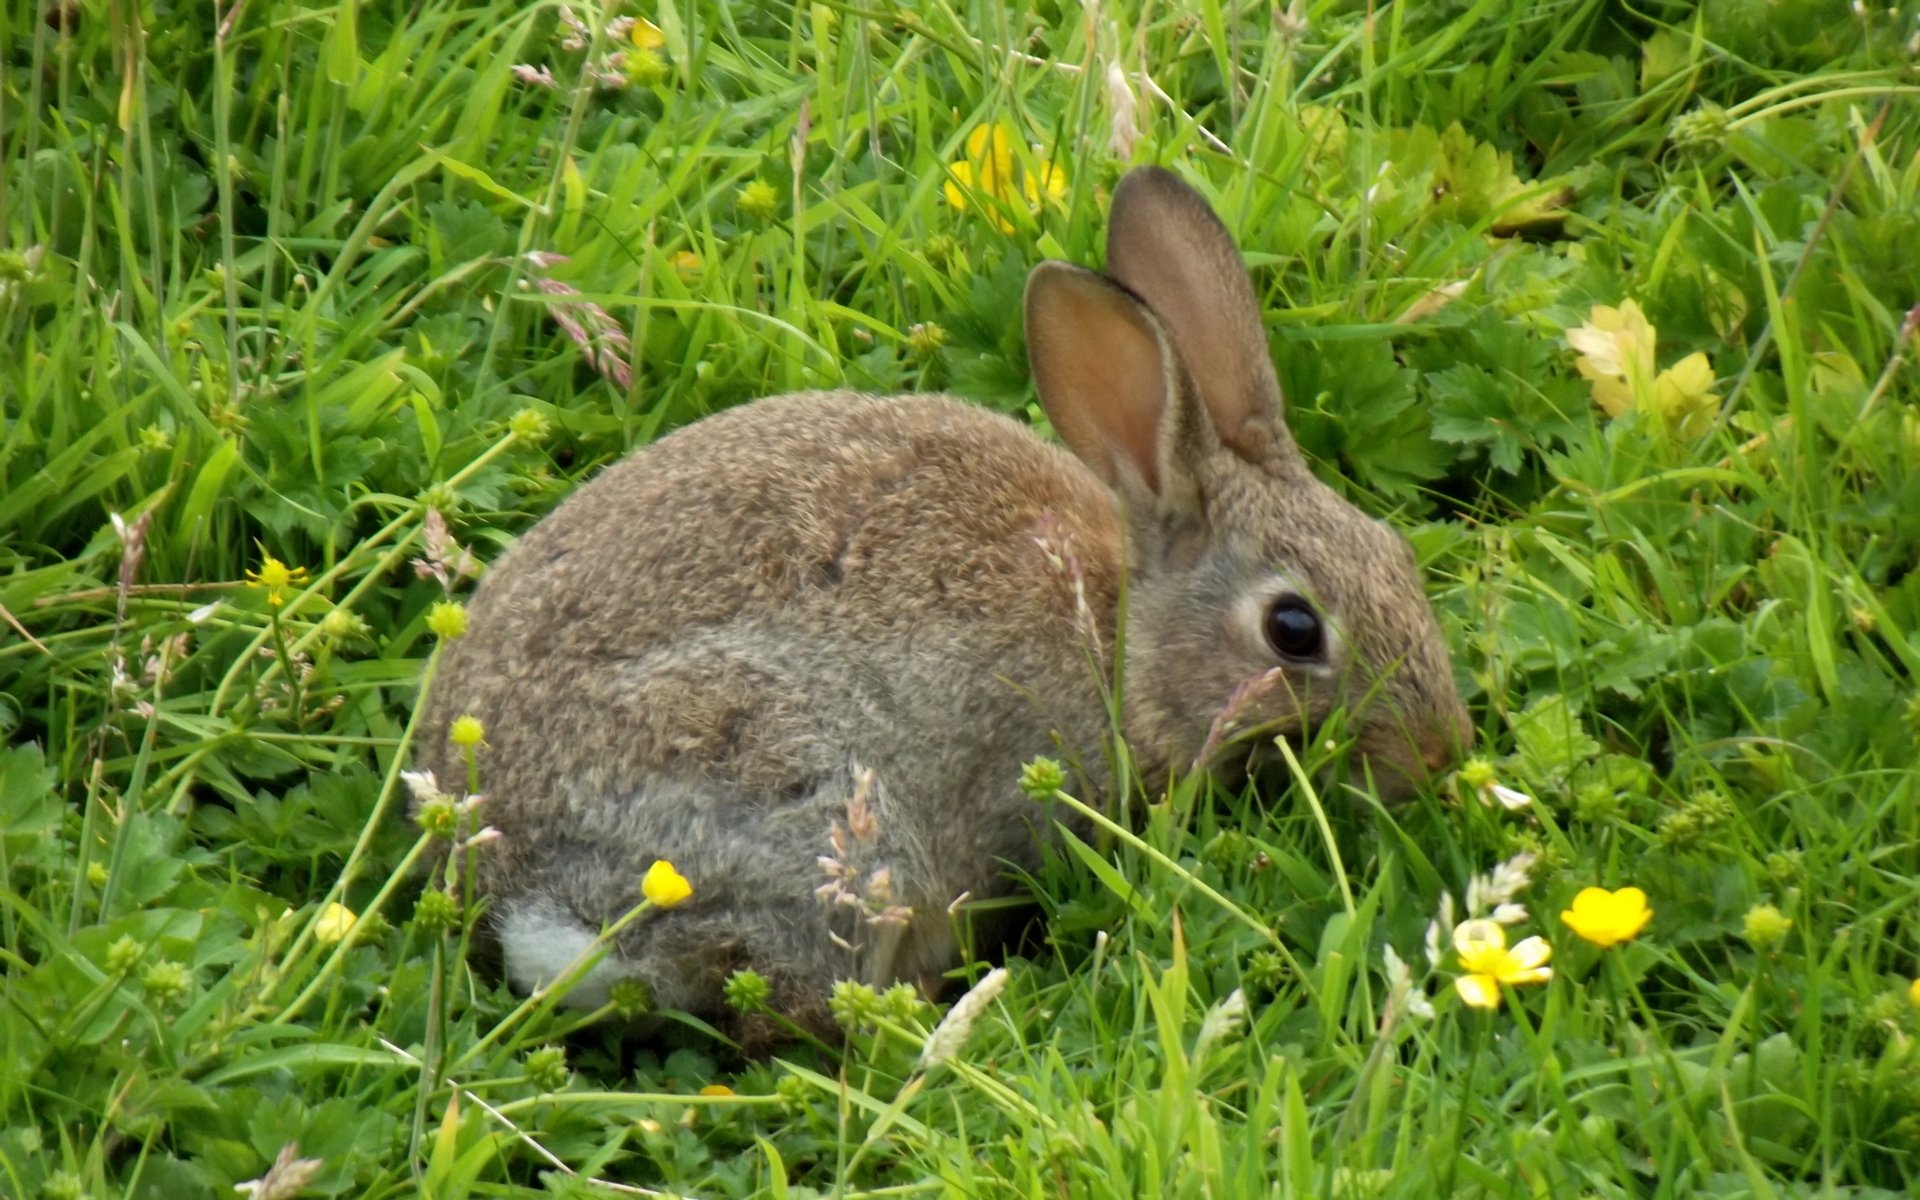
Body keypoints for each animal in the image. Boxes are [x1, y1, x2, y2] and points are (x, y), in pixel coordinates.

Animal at [418, 165, 1473, 1044]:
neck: (1120, 637)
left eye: (1396, 554)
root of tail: (507, 892)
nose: (1441, 753)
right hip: (807, 811)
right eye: (1294, 629)